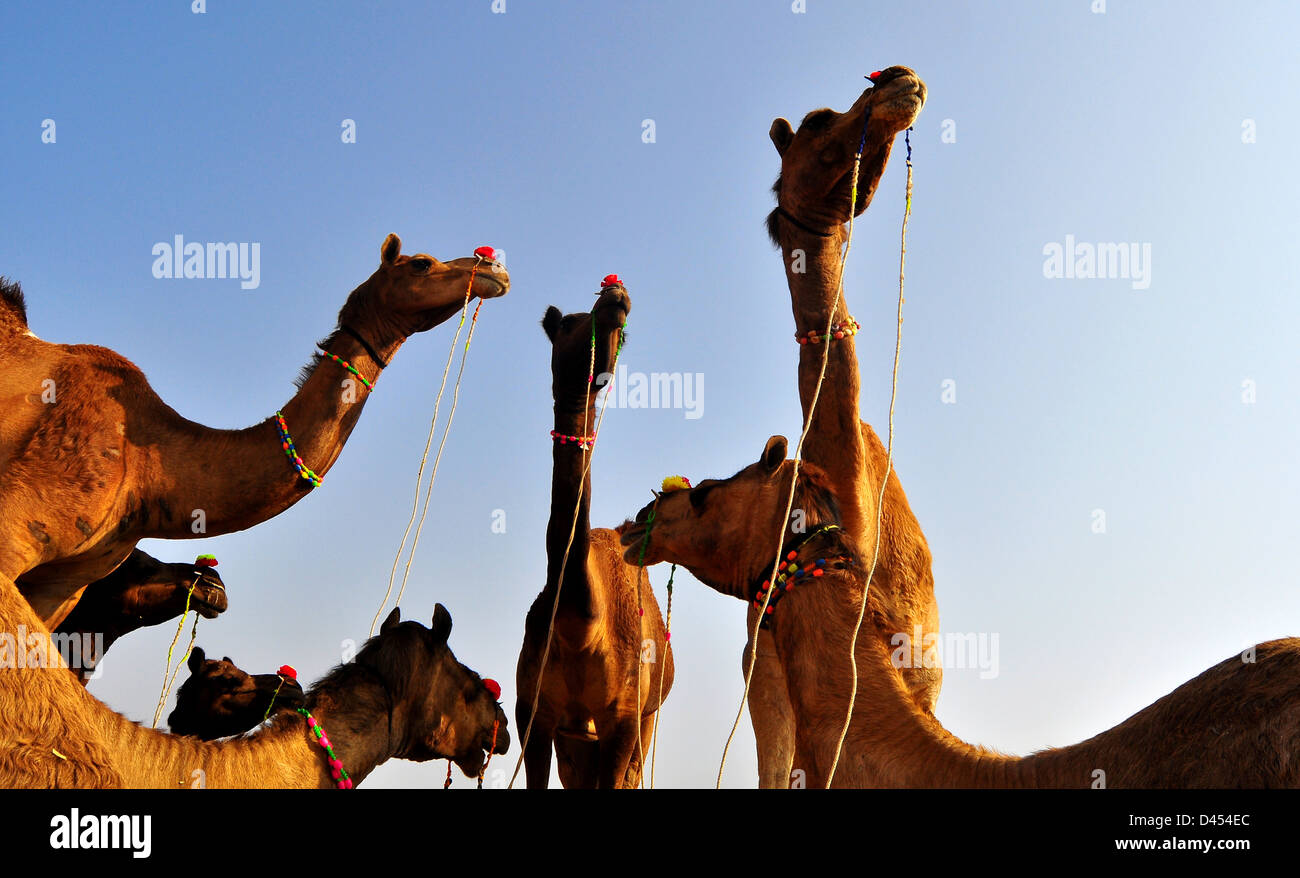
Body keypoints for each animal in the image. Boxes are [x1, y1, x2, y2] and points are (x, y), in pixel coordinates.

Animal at [515, 280, 673, 788]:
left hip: (645, 719)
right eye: (567, 323)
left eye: (624, 337)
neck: (579, 623)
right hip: (576, 740)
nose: (615, 295)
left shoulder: (621, 716)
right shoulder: (532, 710)